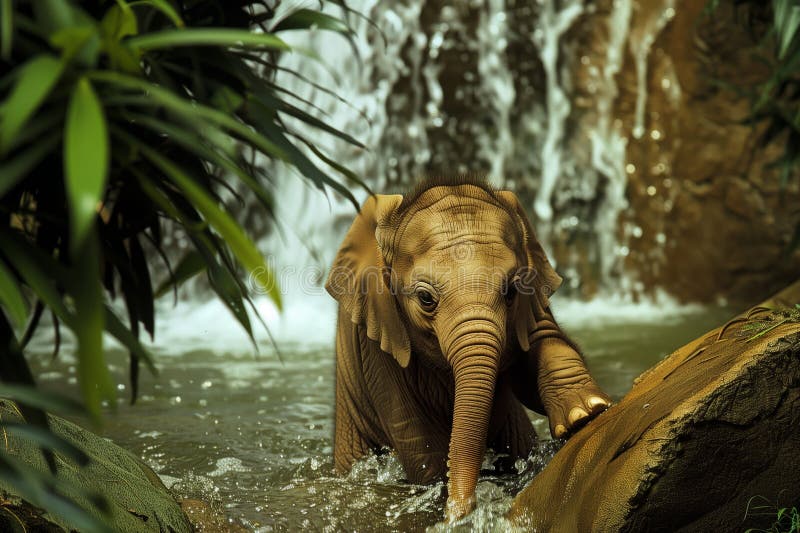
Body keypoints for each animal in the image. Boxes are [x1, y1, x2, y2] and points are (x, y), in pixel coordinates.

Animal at [325, 176, 611, 522]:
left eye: (512, 290)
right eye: (425, 299)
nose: (459, 512)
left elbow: (539, 348)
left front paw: (585, 413)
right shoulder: (378, 342)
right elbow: (418, 439)